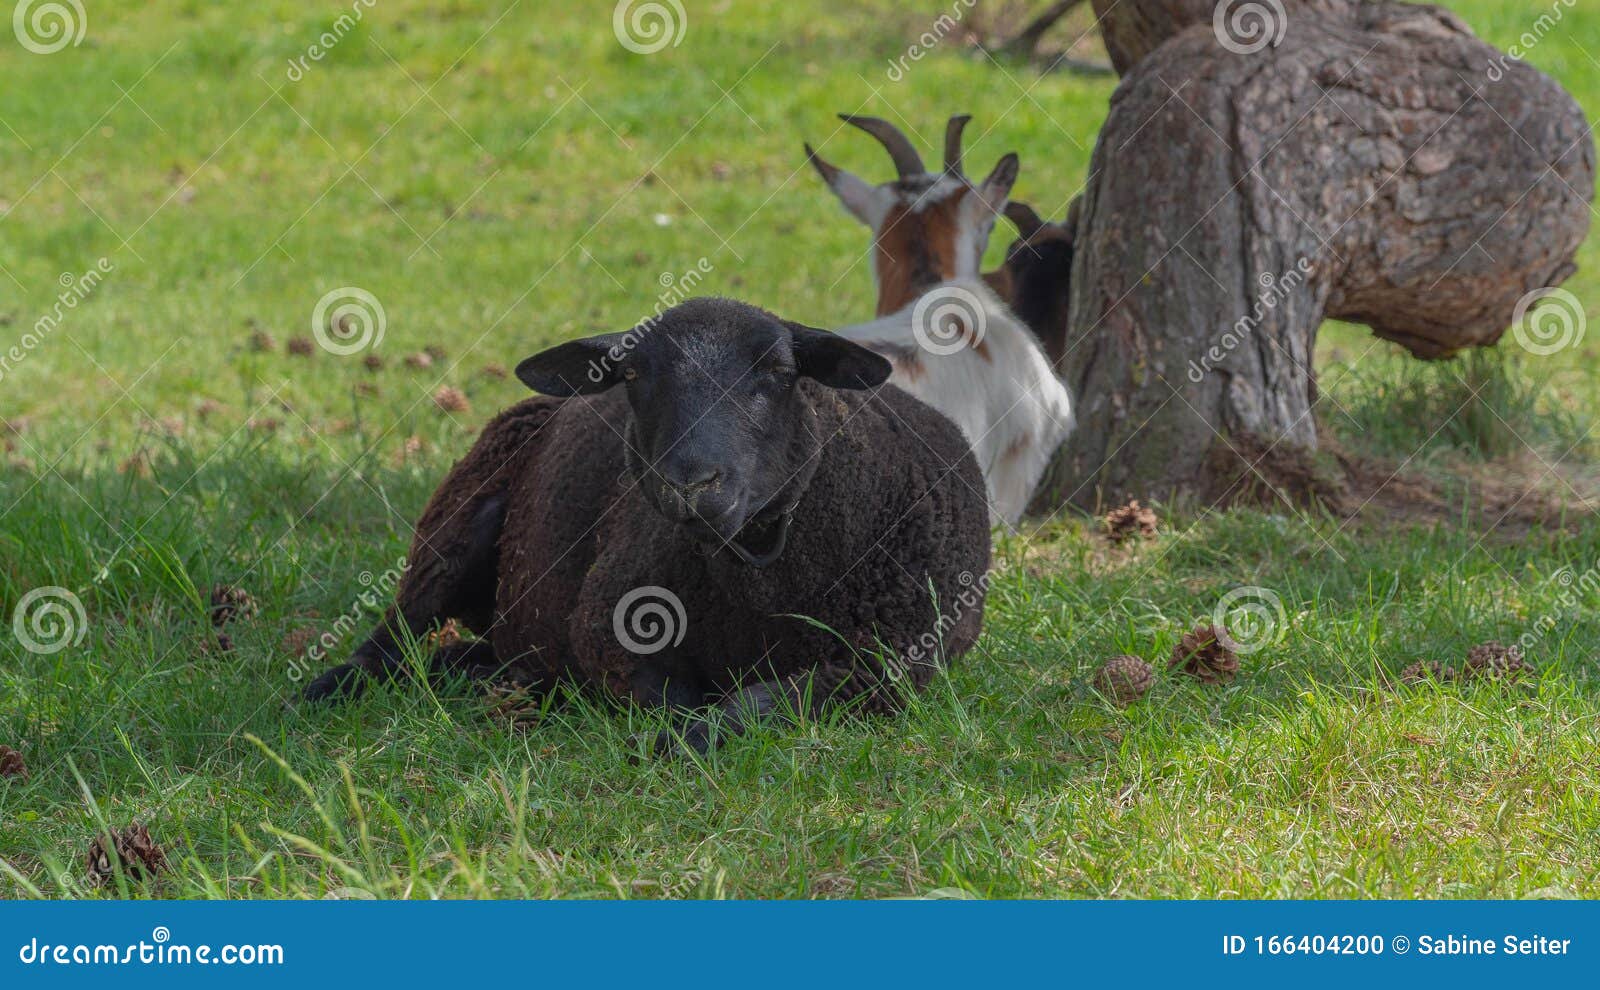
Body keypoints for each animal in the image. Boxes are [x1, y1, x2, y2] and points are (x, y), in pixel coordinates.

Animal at [303, 297, 992, 756]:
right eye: (632, 374)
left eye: (778, 372)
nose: (690, 482)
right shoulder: (608, 628)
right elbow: (671, 700)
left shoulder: (884, 666)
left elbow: (763, 705)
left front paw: (691, 735)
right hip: (453, 527)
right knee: (390, 641)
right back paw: (323, 693)